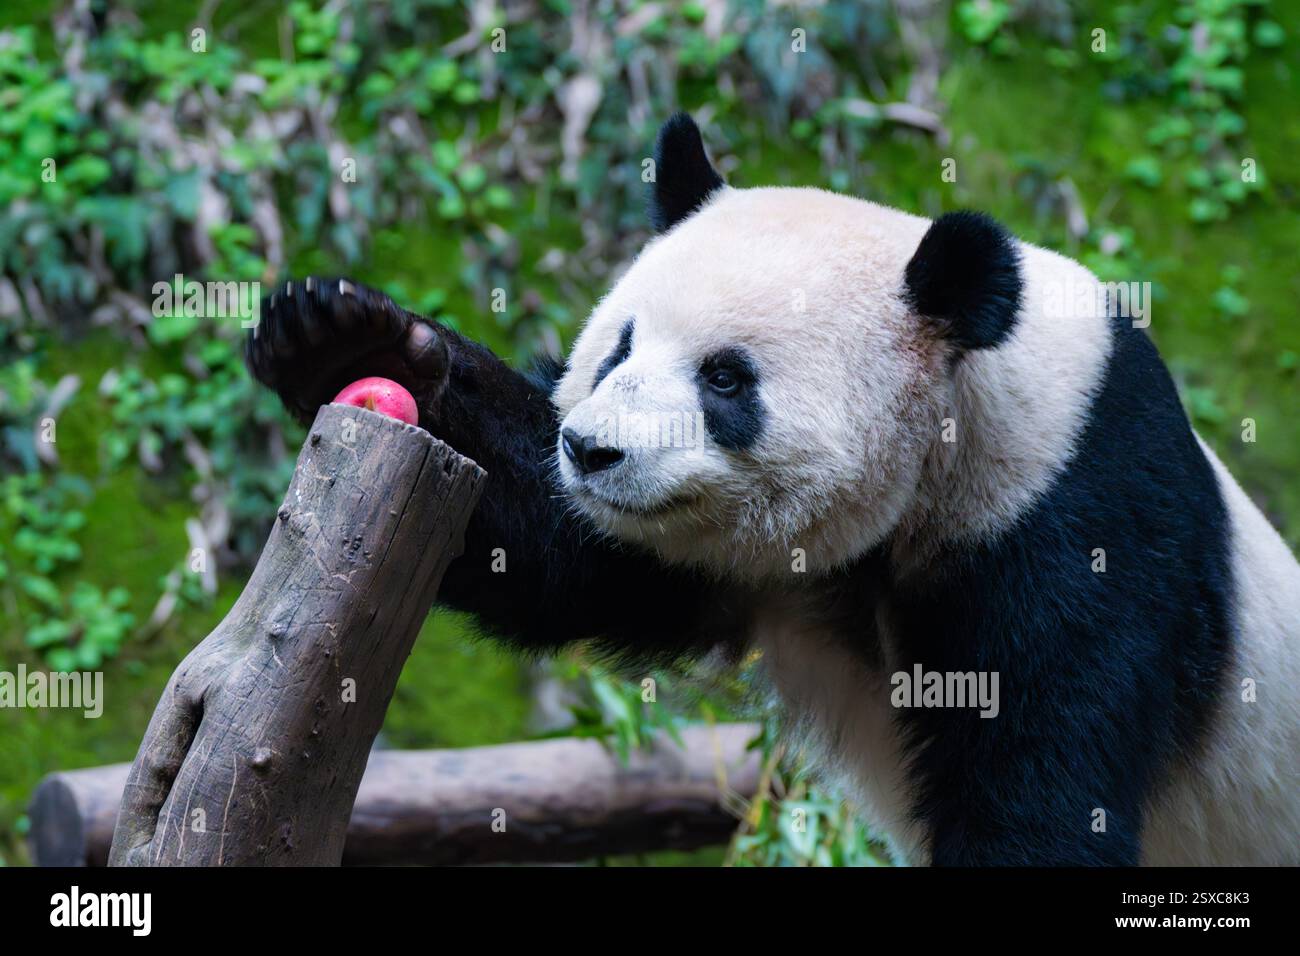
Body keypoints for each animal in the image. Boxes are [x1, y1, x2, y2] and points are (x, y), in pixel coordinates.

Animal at [247, 113, 1300, 866]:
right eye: (618, 348)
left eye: (725, 380)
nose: (590, 451)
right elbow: (567, 558)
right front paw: (344, 337)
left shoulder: (1074, 512)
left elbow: (1044, 784)